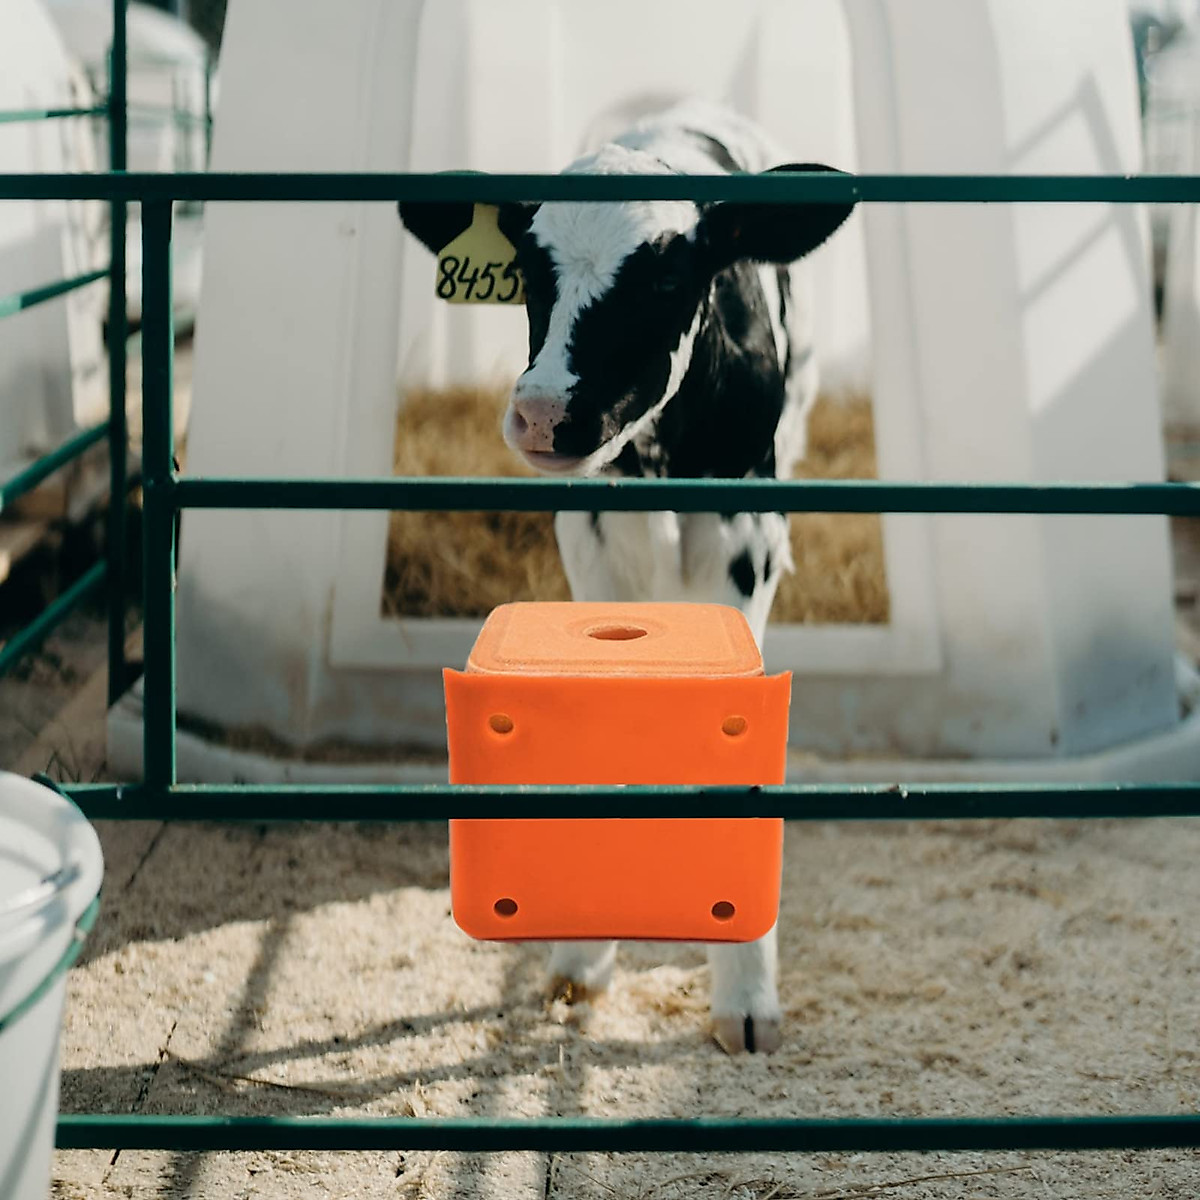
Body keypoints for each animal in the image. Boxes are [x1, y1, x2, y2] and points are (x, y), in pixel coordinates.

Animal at [400, 99, 856, 1054]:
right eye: (528, 270)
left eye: (663, 279)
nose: (543, 412)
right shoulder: (592, 535)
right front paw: (581, 954)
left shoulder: (748, 532)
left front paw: (745, 993)